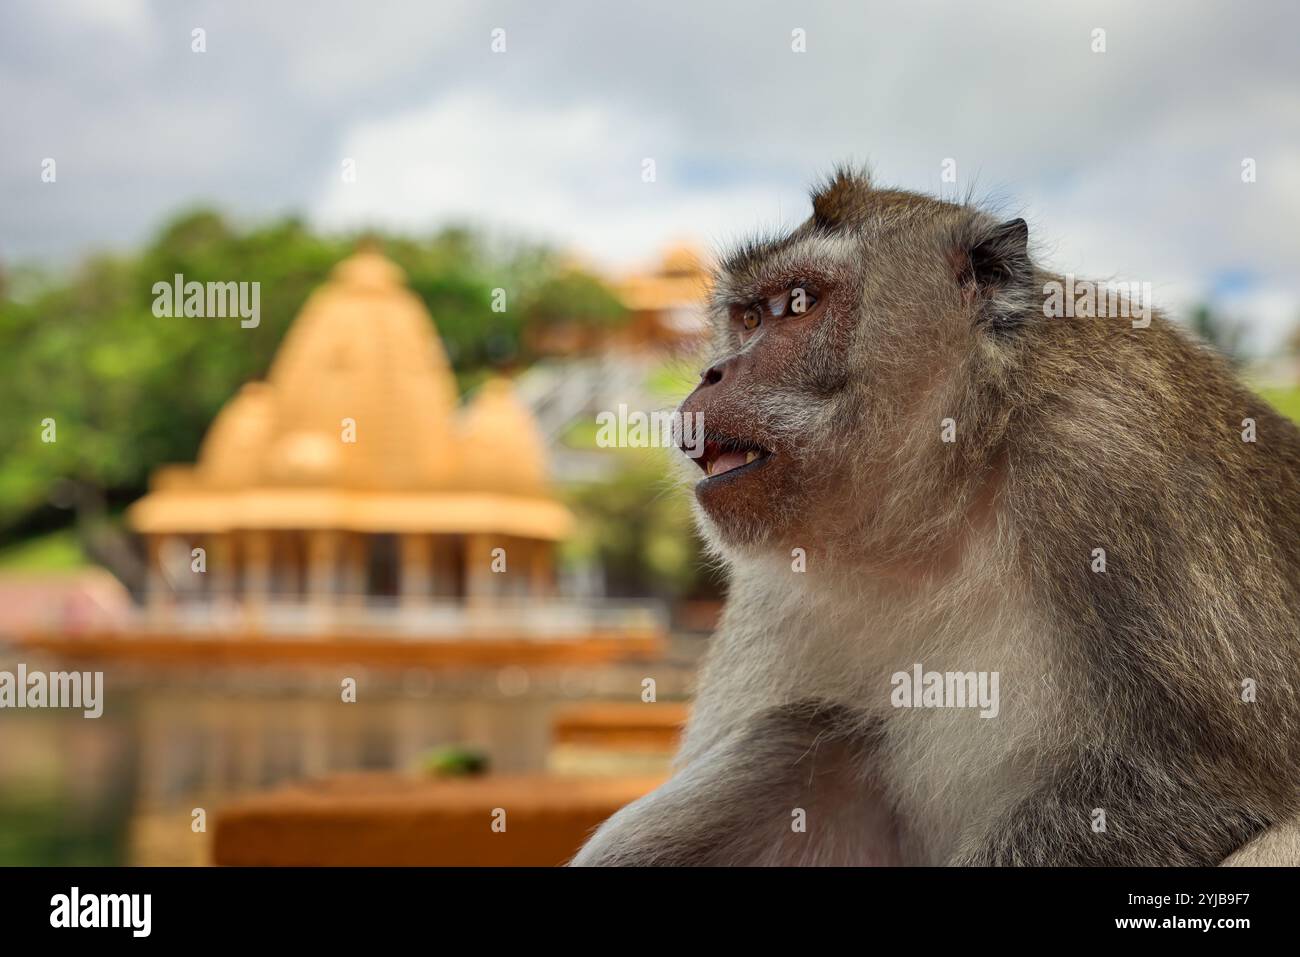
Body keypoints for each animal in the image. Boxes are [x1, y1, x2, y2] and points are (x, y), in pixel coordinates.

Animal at [572, 167, 1300, 866]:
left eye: (796, 305)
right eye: (749, 319)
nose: (714, 371)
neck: (949, 500)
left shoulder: (1115, 446)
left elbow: (1205, 782)